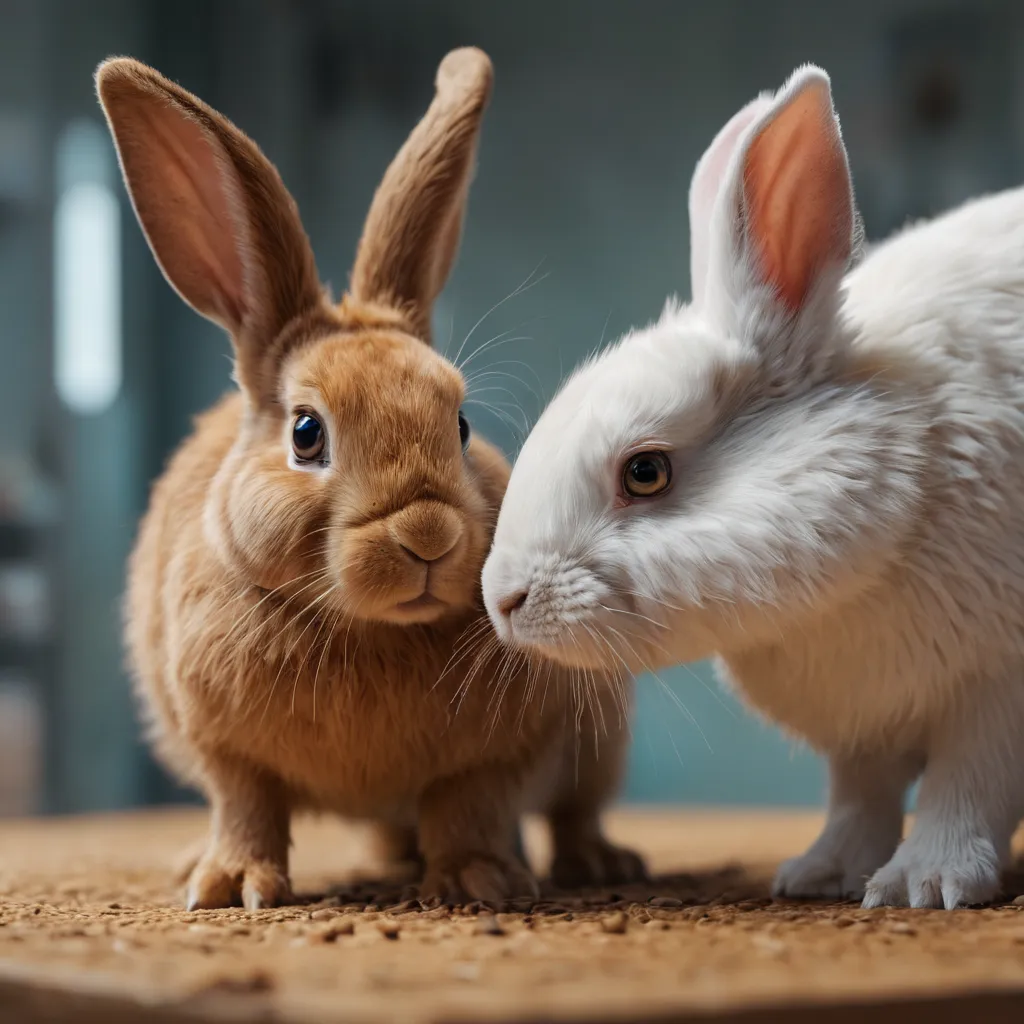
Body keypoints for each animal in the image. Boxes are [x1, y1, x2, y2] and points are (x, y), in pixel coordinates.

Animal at [99, 50, 643, 911]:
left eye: (460, 426)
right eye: (306, 433)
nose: (427, 533)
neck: (369, 629)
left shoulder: (501, 753)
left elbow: (469, 805)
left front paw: (484, 881)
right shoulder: (225, 752)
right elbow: (247, 806)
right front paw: (231, 886)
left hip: (602, 734)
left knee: (575, 808)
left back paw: (595, 863)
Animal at [481, 63, 1024, 910]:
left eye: (646, 471)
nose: (501, 600)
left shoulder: (994, 694)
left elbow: (962, 792)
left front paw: (923, 885)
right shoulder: (859, 736)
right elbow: (859, 800)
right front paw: (821, 874)